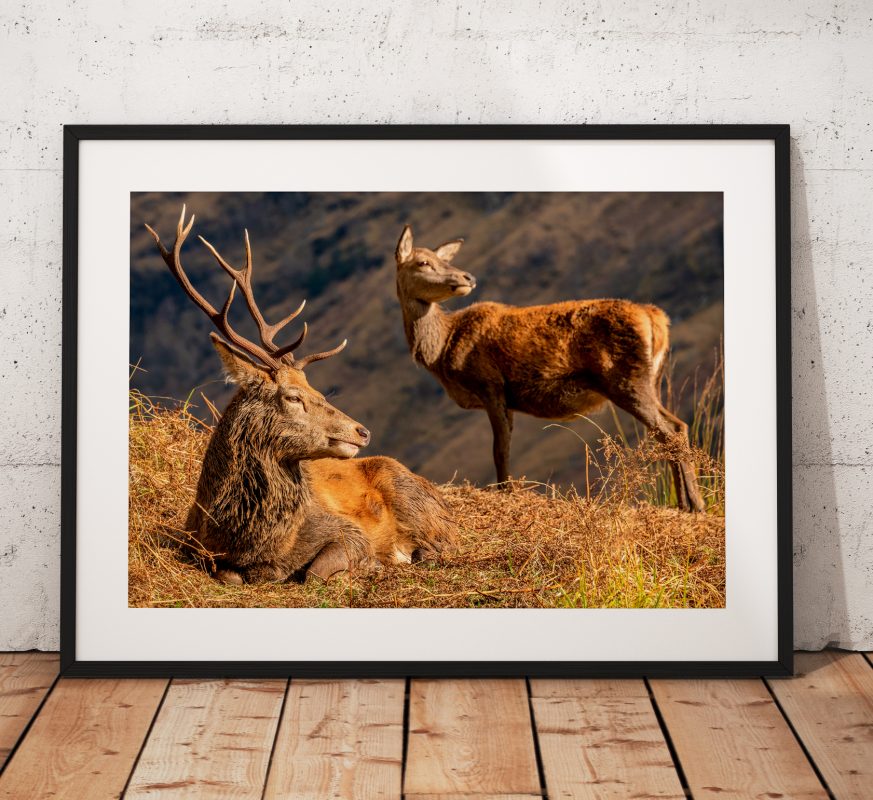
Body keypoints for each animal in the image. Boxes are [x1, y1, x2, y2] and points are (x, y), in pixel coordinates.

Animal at [144, 207, 455, 585]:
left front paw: (370, 564)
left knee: (439, 545)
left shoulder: (349, 531)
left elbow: (315, 573)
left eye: (318, 390)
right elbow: (230, 576)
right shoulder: (200, 549)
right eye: (293, 397)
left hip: (416, 503)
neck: (254, 542)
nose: (362, 431)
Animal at [394, 225, 706, 513]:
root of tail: (656, 319)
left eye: (439, 259)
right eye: (423, 262)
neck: (443, 349)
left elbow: (499, 449)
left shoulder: (490, 383)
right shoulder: (506, 398)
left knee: (669, 430)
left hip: (626, 379)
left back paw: (694, 503)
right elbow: (504, 445)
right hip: (651, 381)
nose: (468, 277)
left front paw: (506, 491)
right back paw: (685, 502)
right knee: (677, 426)